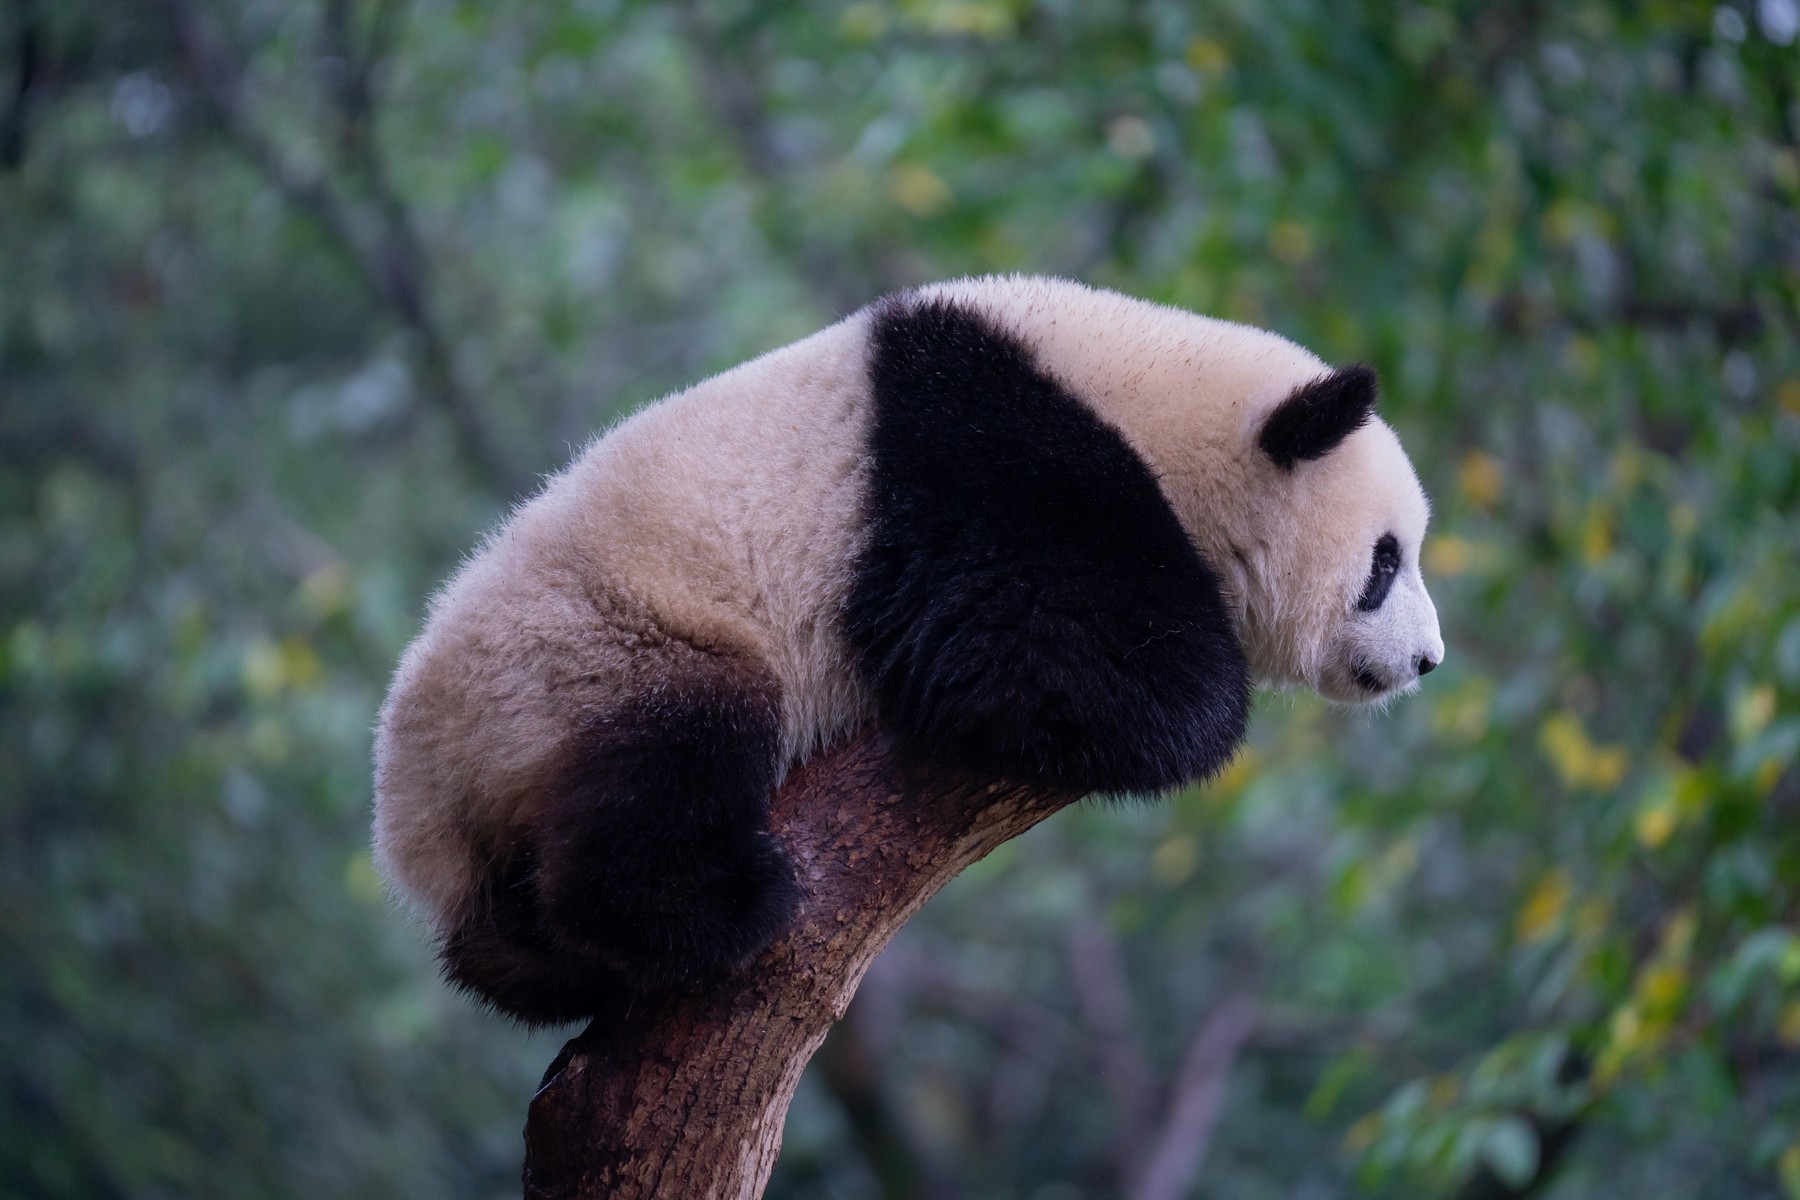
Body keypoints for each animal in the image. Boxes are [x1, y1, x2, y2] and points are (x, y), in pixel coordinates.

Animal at [373, 275, 1444, 1026]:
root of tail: (411, 809)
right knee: (665, 756)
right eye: (1386, 562)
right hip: (587, 650)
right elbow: (1030, 648)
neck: (1150, 397)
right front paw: (1199, 701)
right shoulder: (973, 451)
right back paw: (718, 906)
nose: (1429, 661)